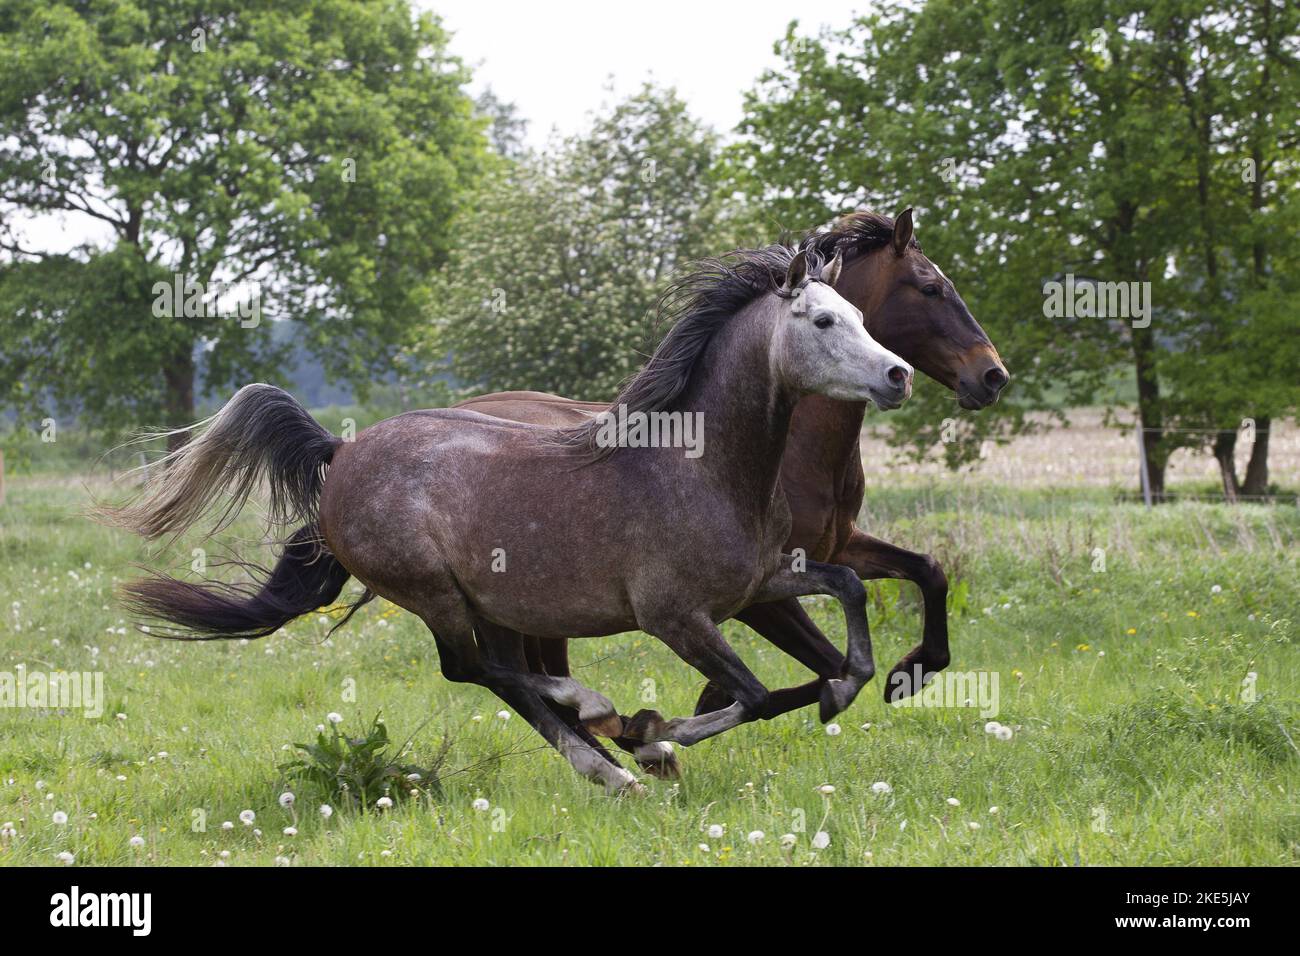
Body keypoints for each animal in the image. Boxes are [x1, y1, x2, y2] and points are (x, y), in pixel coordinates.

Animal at [103, 245, 914, 793]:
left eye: (861, 315)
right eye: (822, 319)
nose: (898, 375)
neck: (698, 468)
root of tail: (342, 450)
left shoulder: (758, 585)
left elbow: (847, 603)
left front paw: (842, 689)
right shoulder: (676, 617)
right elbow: (753, 693)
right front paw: (653, 734)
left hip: (489, 601)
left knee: (497, 674)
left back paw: (605, 759)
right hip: (433, 592)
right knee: (473, 668)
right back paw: (605, 731)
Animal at [457, 208, 1009, 777]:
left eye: (859, 315)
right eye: (930, 288)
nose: (992, 376)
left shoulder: (834, 549)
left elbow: (927, 571)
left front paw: (914, 669)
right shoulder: (753, 600)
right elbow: (826, 666)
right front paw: (685, 712)